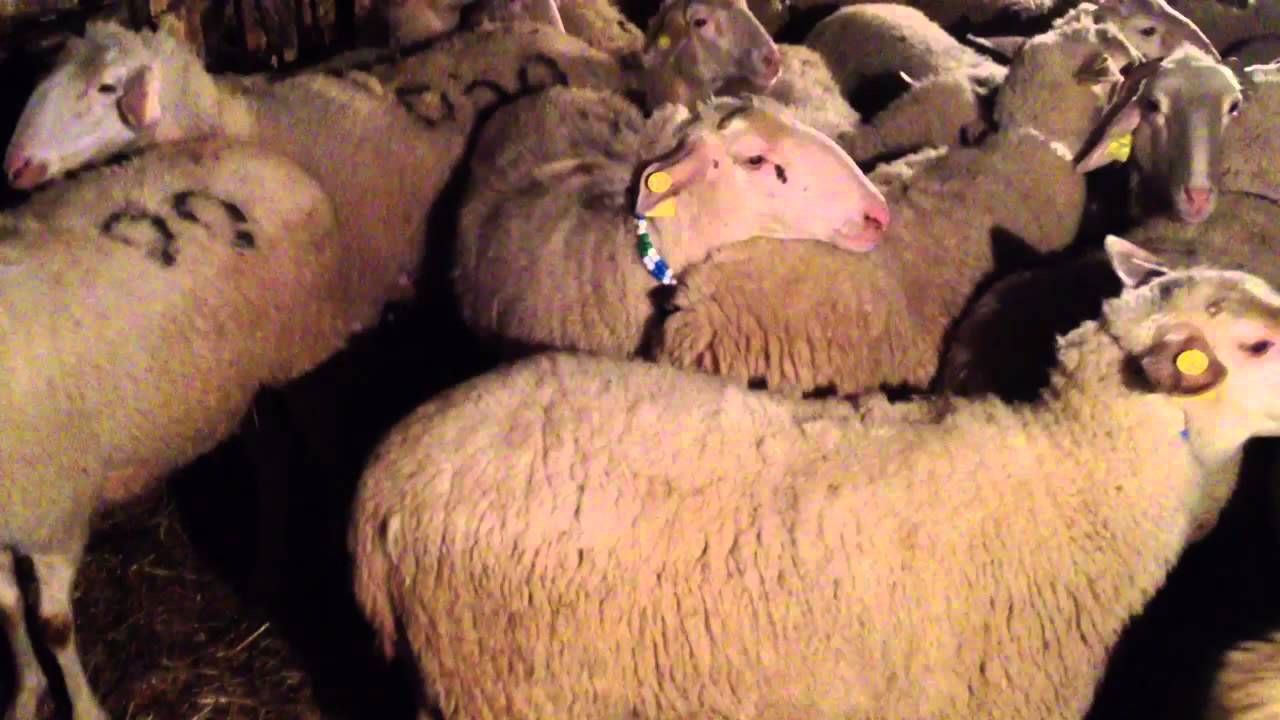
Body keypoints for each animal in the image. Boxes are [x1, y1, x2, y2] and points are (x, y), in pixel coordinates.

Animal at [0, 137, 352, 720]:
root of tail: (265, 156)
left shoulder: (57, 514)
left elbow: (54, 628)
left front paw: (86, 708)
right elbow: (8, 609)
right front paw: (26, 693)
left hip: (307, 354)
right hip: (246, 385)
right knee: (271, 460)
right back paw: (264, 568)